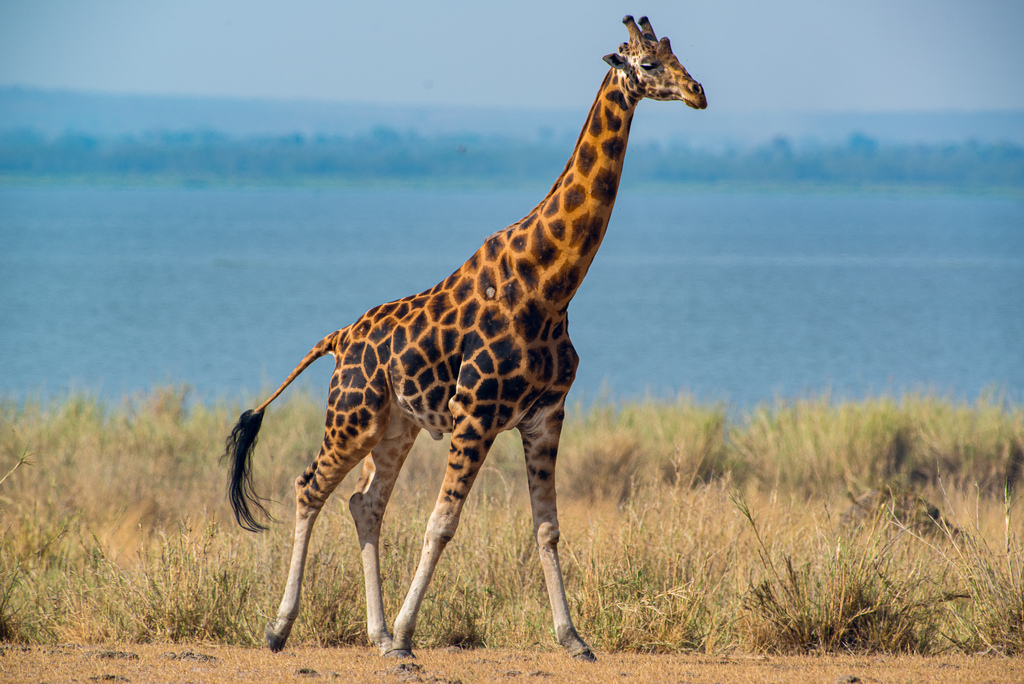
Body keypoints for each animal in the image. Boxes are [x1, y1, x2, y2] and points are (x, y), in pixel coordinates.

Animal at [224, 15, 706, 661]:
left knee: (364, 503)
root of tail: (341, 337)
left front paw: (573, 639)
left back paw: (376, 635)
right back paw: (282, 629)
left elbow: (547, 528)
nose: (698, 92)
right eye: (648, 64)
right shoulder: (474, 413)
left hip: (395, 427)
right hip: (351, 416)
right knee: (309, 488)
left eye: (677, 55)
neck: (550, 287)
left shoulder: (545, 416)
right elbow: (442, 524)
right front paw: (409, 635)